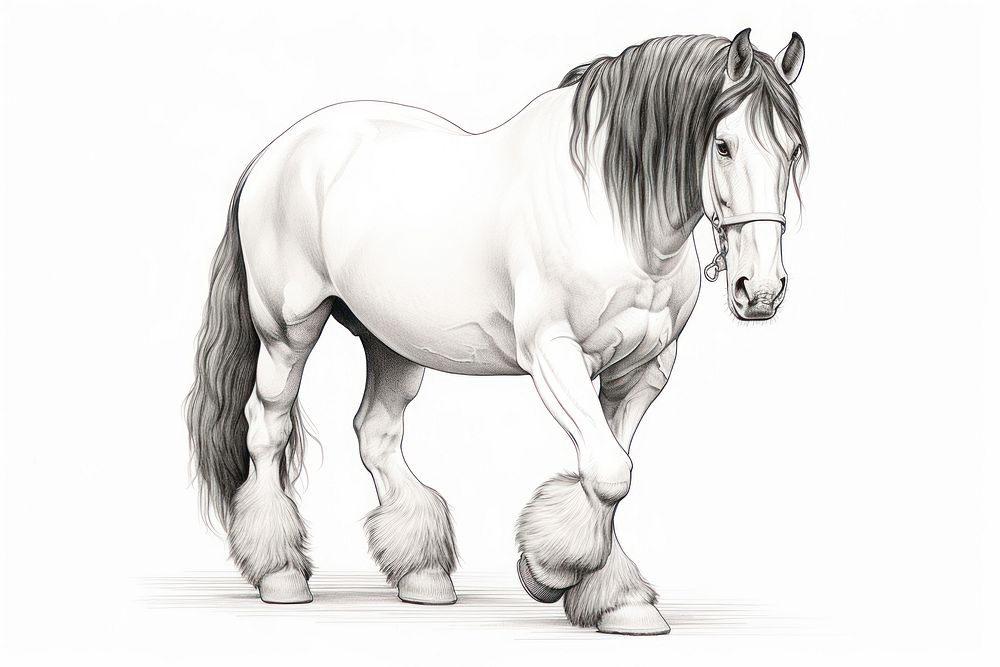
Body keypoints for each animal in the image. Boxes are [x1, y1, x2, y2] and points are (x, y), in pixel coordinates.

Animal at [185, 28, 808, 635]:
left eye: (794, 150)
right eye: (723, 145)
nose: (760, 290)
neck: (611, 214)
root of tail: (273, 155)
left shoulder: (643, 370)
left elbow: (610, 468)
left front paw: (614, 602)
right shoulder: (555, 354)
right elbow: (608, 473)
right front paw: (550, 574)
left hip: (391, 342)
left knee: (377, 432)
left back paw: (423, 575)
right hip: (287, 332)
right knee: (267, 428)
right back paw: (282, 575)